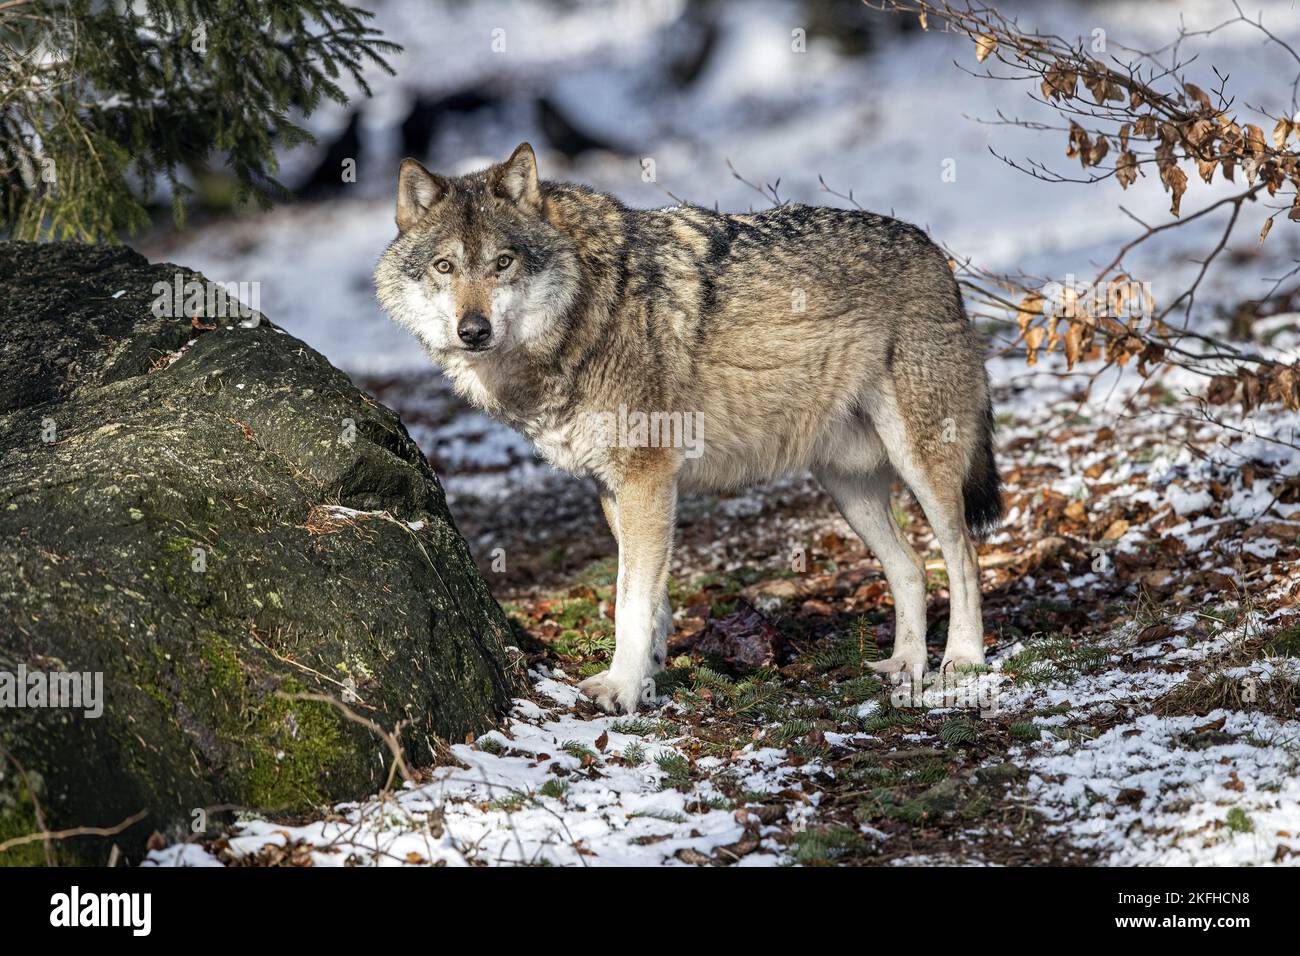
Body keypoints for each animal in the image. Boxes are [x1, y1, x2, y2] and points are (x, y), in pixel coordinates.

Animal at [375, 143, 1001, 714]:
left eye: (503, 262)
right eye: (445, 267)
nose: (473, 330)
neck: (589, 309)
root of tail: (936, 253)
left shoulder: (647, 478)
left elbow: (629, 601)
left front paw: (622, 689)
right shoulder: (614, 488)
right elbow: (648, 597)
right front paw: (649, 672)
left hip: (920, 463)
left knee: (963, 556)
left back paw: (962, 660)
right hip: (845, 487)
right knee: (912, 568)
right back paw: (907, 663)